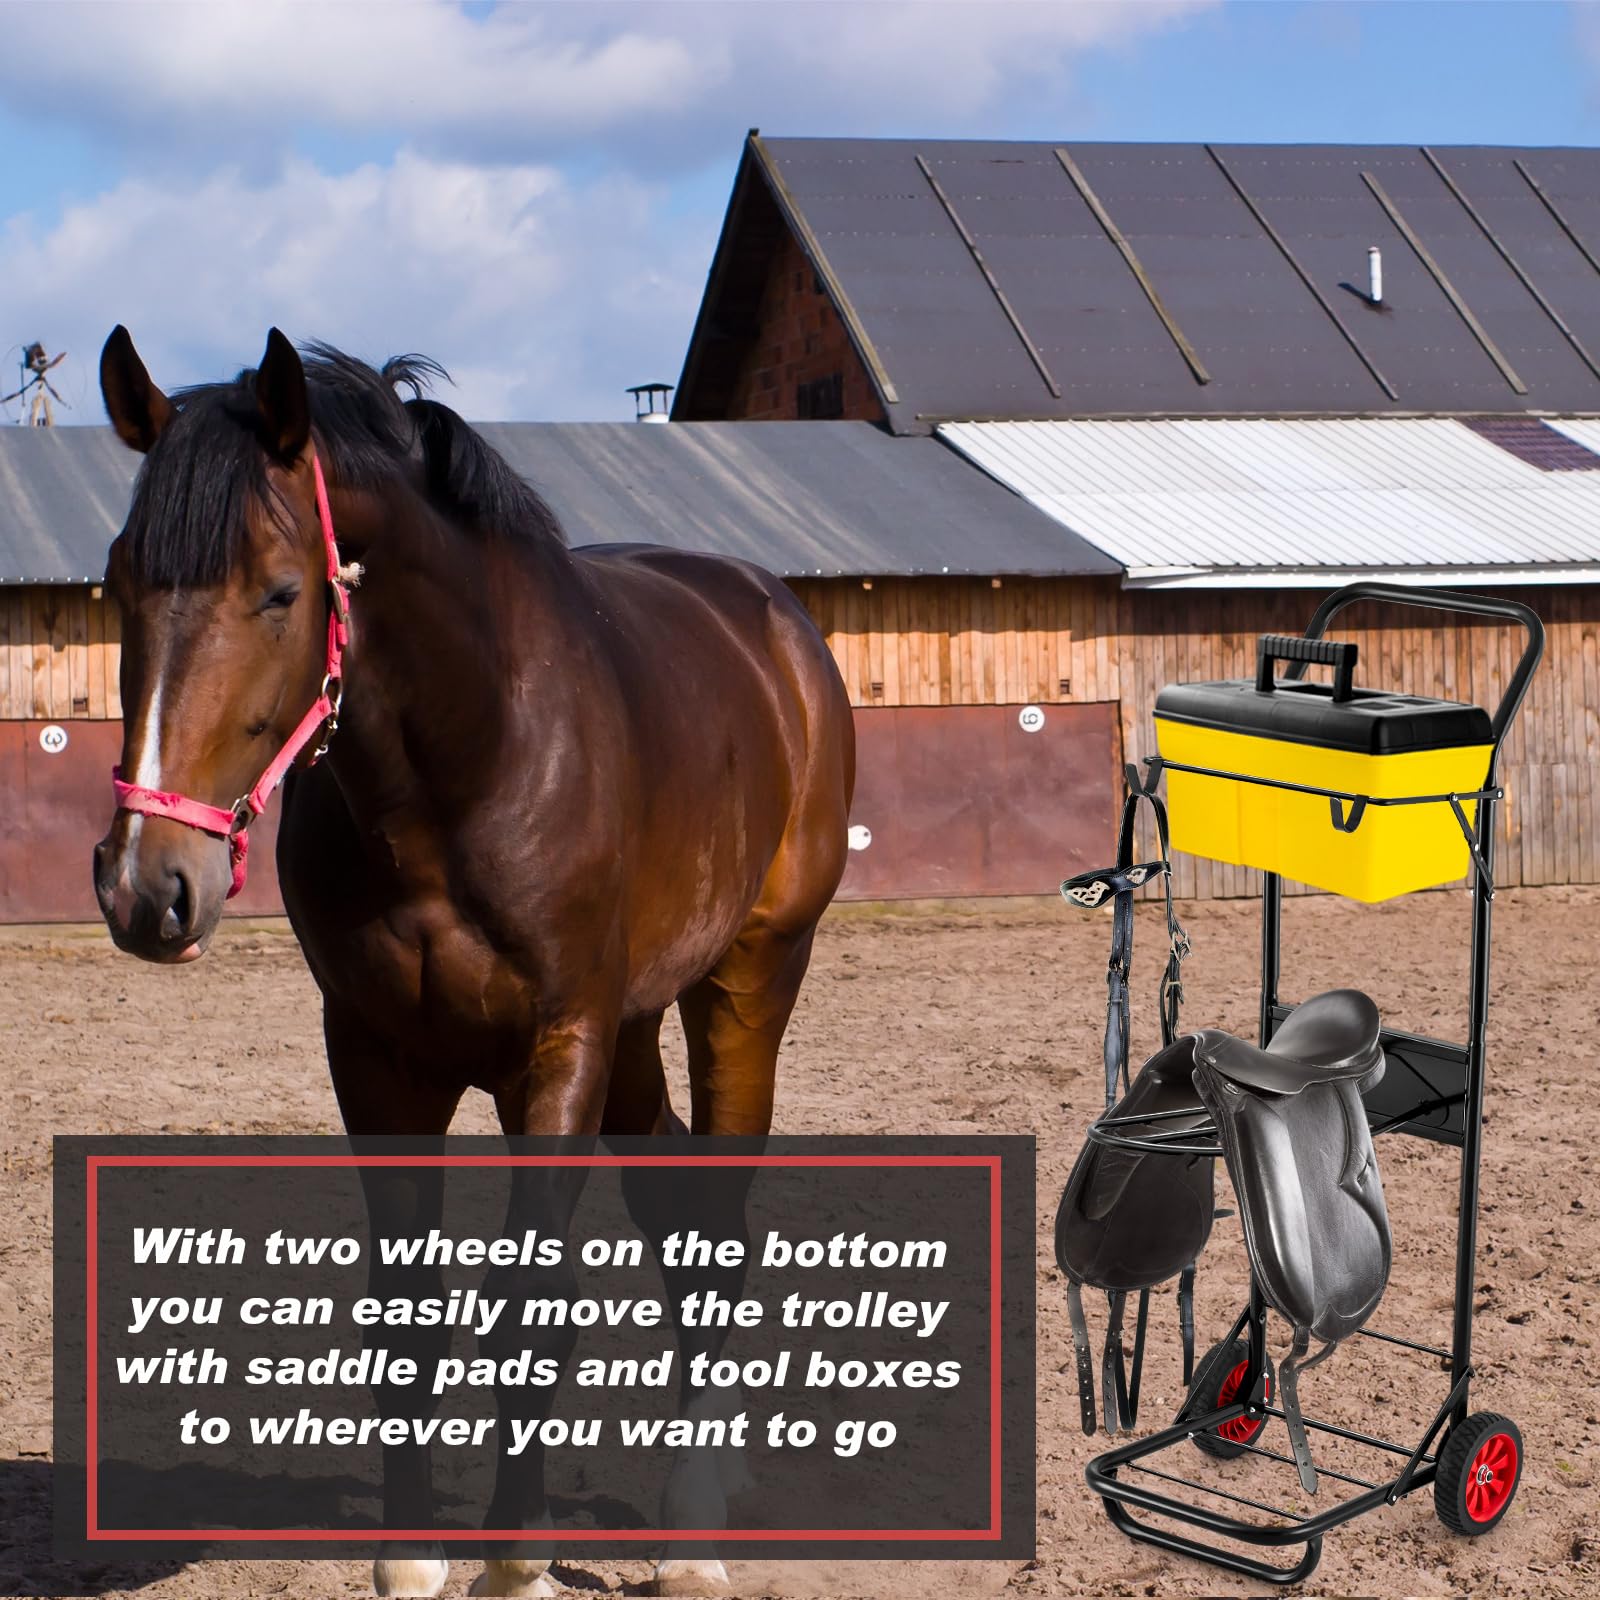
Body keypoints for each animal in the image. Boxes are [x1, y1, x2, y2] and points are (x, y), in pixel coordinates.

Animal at [92, 327, 856, 1598]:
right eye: (118, 584)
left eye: (280, 591)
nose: (149, 885)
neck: (473, 762)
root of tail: (776, 625)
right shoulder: (377, 1058)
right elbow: (409, 1306)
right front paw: (412, 1556)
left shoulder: (558, 1048)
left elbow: (529, 1301)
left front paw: (516, 1557)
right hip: (635, 1029)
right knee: (673, 1208)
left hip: (746, 980)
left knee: (718, 1215)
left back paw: (691, 1531)